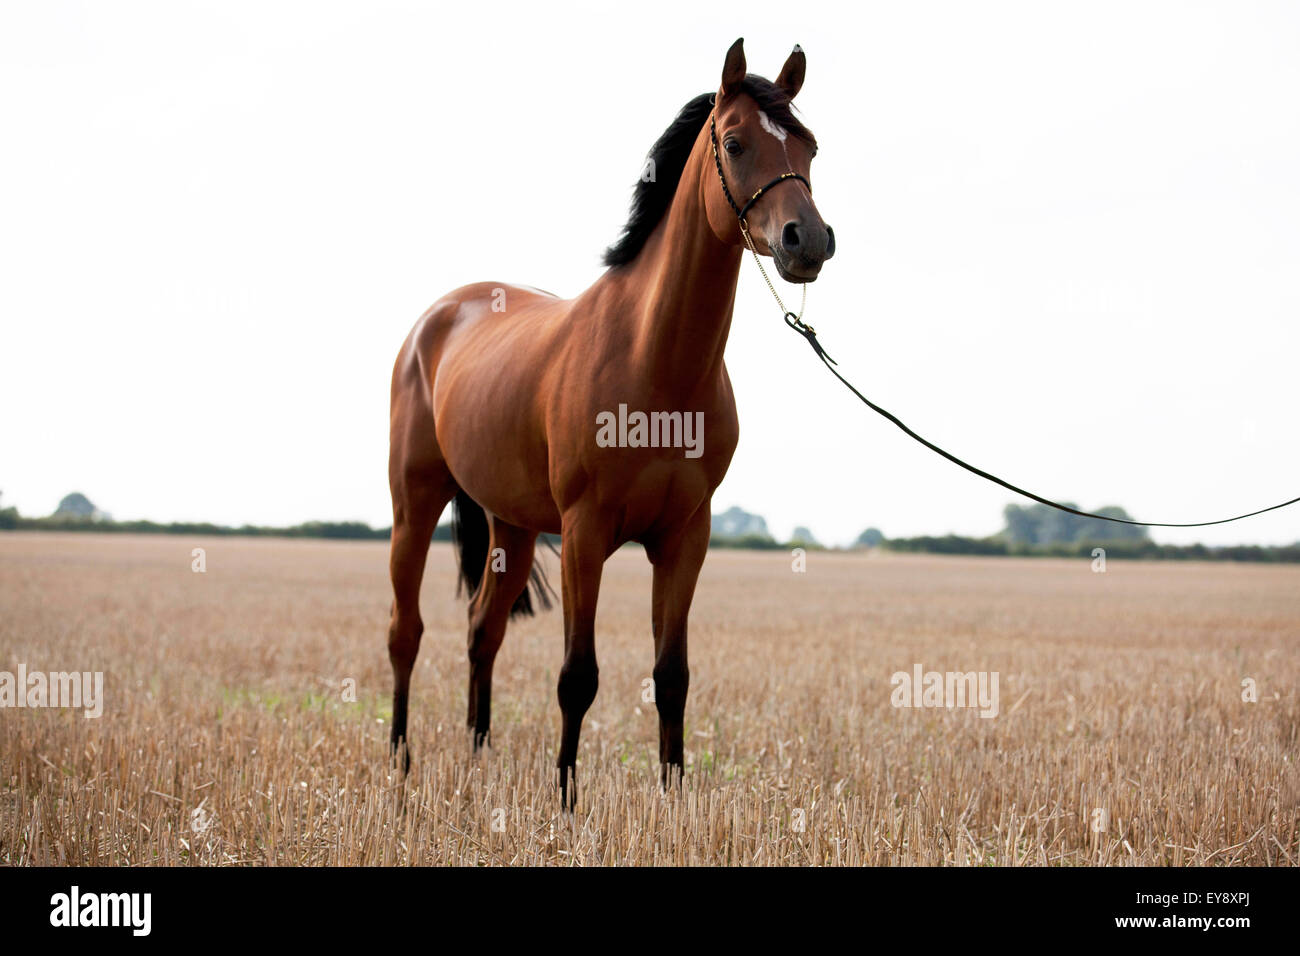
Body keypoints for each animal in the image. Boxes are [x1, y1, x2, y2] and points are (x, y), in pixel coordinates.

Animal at [386, 37, 835, 807]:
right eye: (736, 142)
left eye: (807, 144)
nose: (808, 240)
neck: (652, 358)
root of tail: (437, 319)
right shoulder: (584, 533)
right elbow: (578, 676)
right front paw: (565, 798)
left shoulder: (686, 538)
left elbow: (672, 676)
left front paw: (674, 795)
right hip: (415, 503)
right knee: (404, 632)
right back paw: (400, 758)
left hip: (511, 525)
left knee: (481, 631)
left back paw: (478, 752)